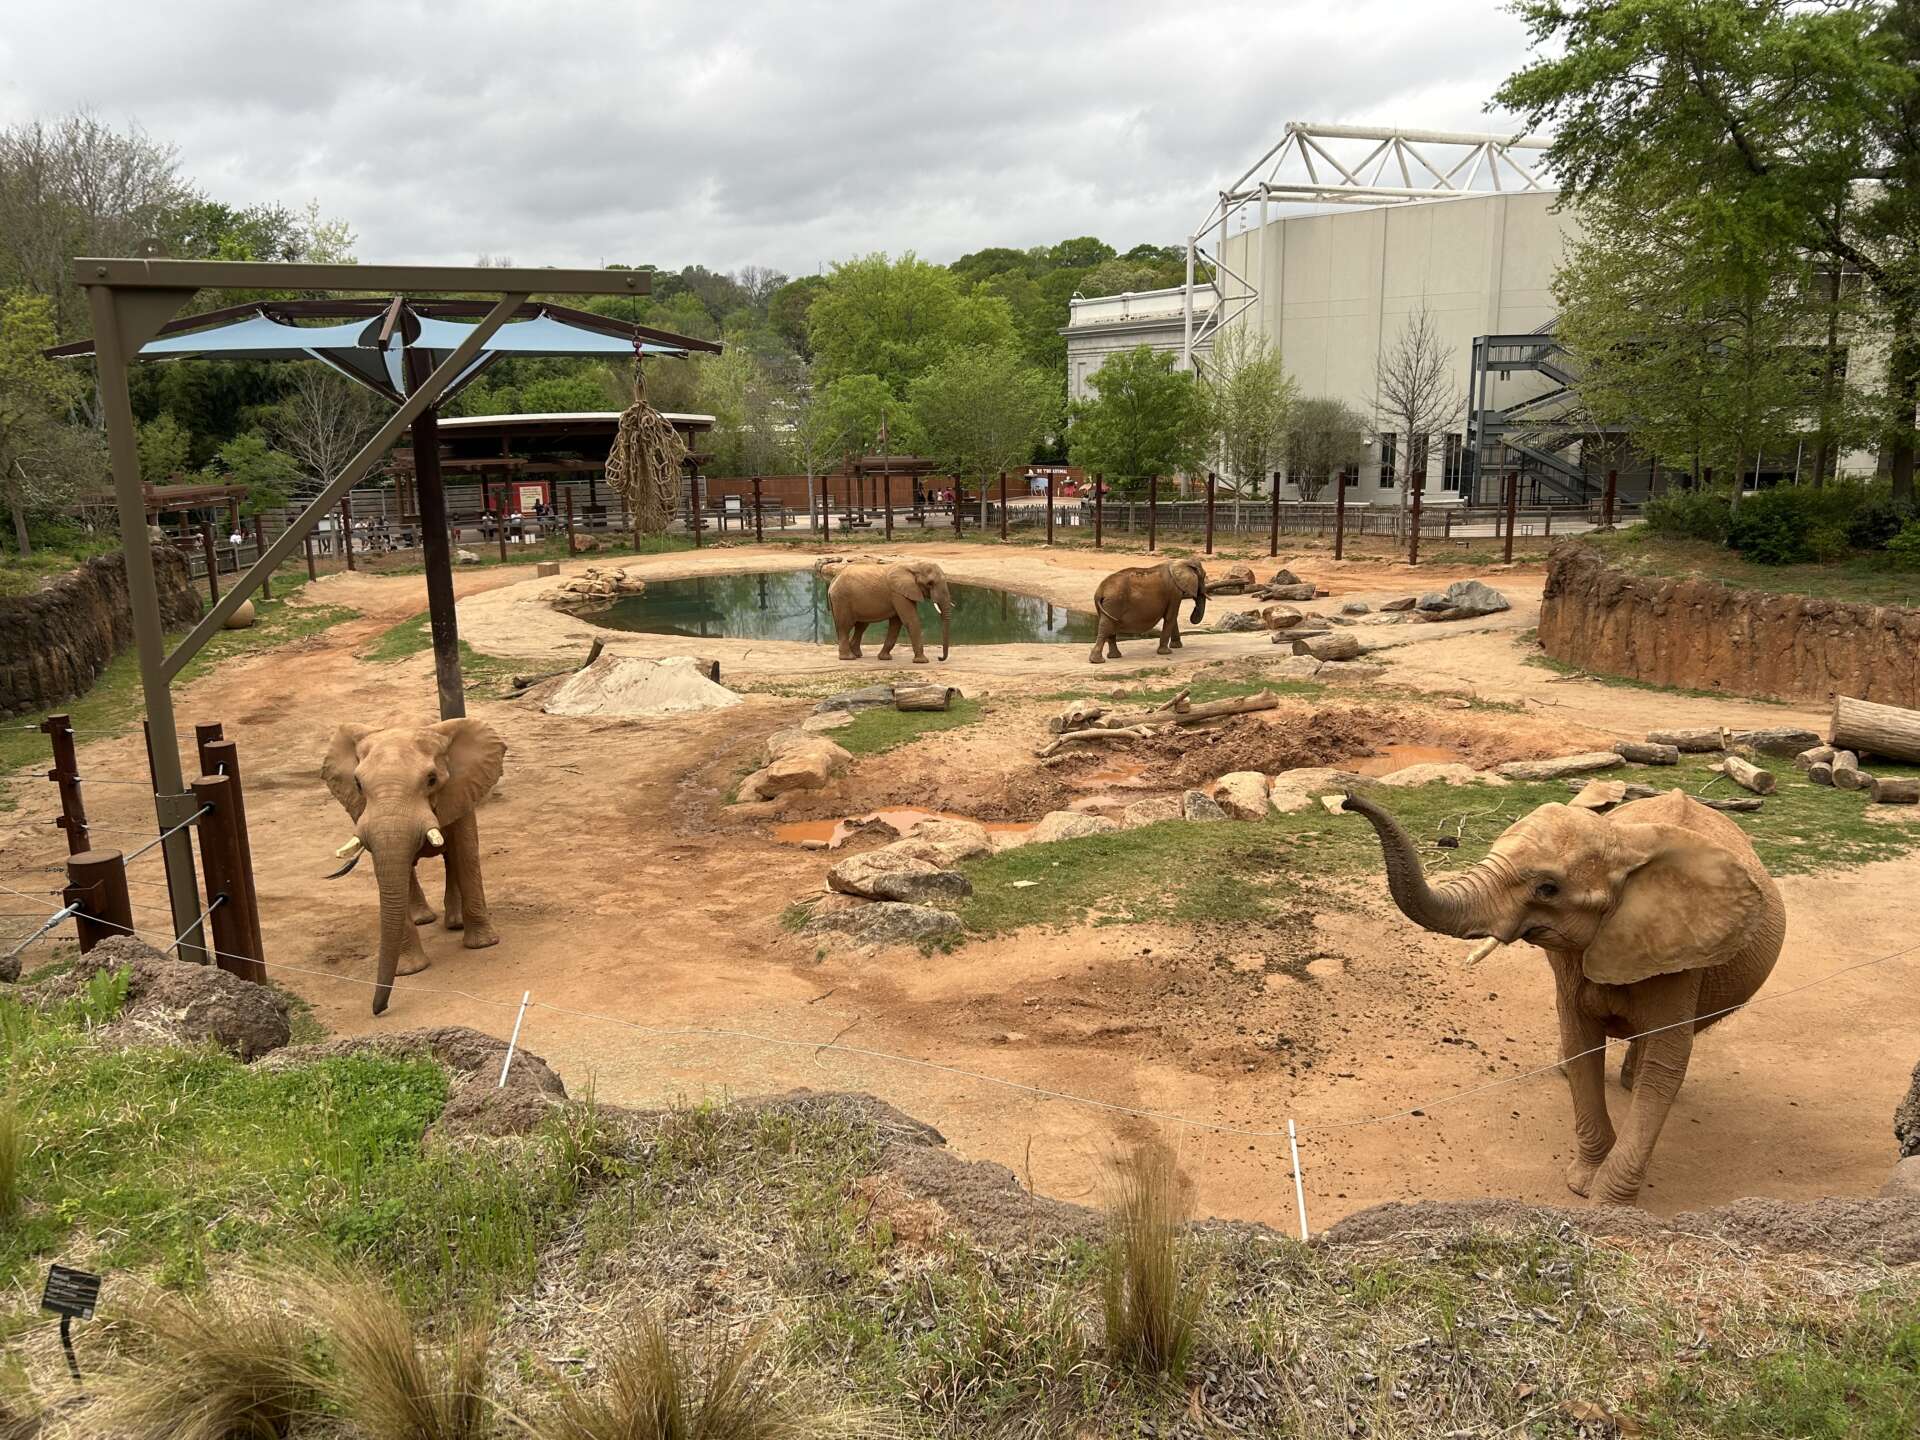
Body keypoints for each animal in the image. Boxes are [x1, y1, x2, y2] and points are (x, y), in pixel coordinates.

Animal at [322, 718, 507, 1015]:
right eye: (358, 784)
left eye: (432, 780)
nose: (379, 1009)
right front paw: (411, 971)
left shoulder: (462, 788)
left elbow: (464, 853)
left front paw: (483, 945)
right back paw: (424, 919)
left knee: (451, 858)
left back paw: (454, 923)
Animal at [1342, 788, 1784, 1206]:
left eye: (1547, 889)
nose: (1348, 799)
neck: (1622, 843)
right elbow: (1581, 1046)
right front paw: (1583, 1184)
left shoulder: (1682, 954)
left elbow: (1664, 1066)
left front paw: (1608, 1205)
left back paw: (1630, 1082)